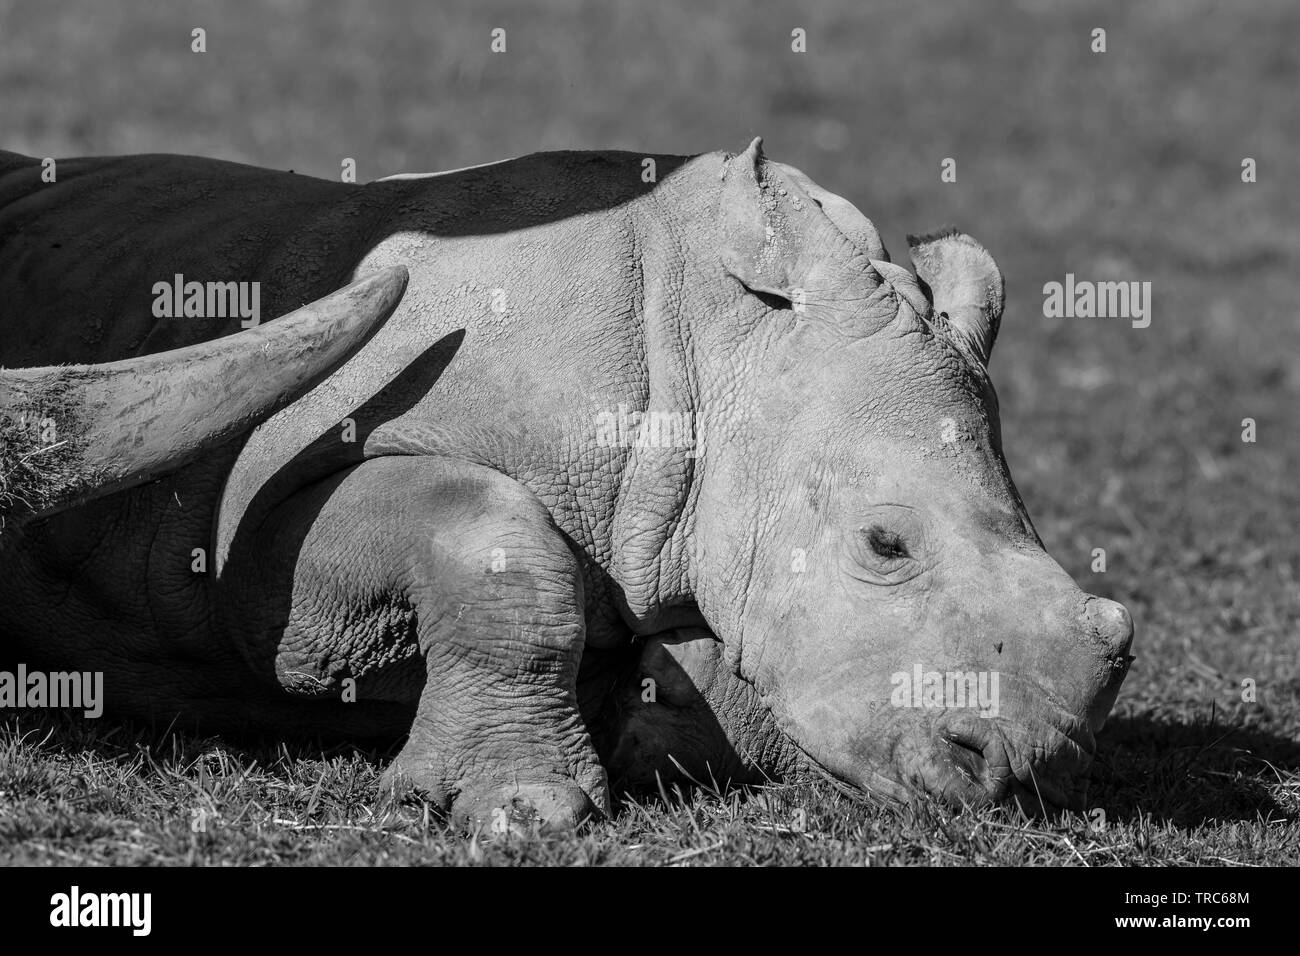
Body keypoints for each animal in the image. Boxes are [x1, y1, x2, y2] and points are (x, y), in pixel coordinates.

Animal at [0, 139, 1133, 829]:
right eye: (883, 545)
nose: (1023, 769)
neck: (712, 349)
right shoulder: (260, 504)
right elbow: (491, 541)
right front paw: (524, 809)